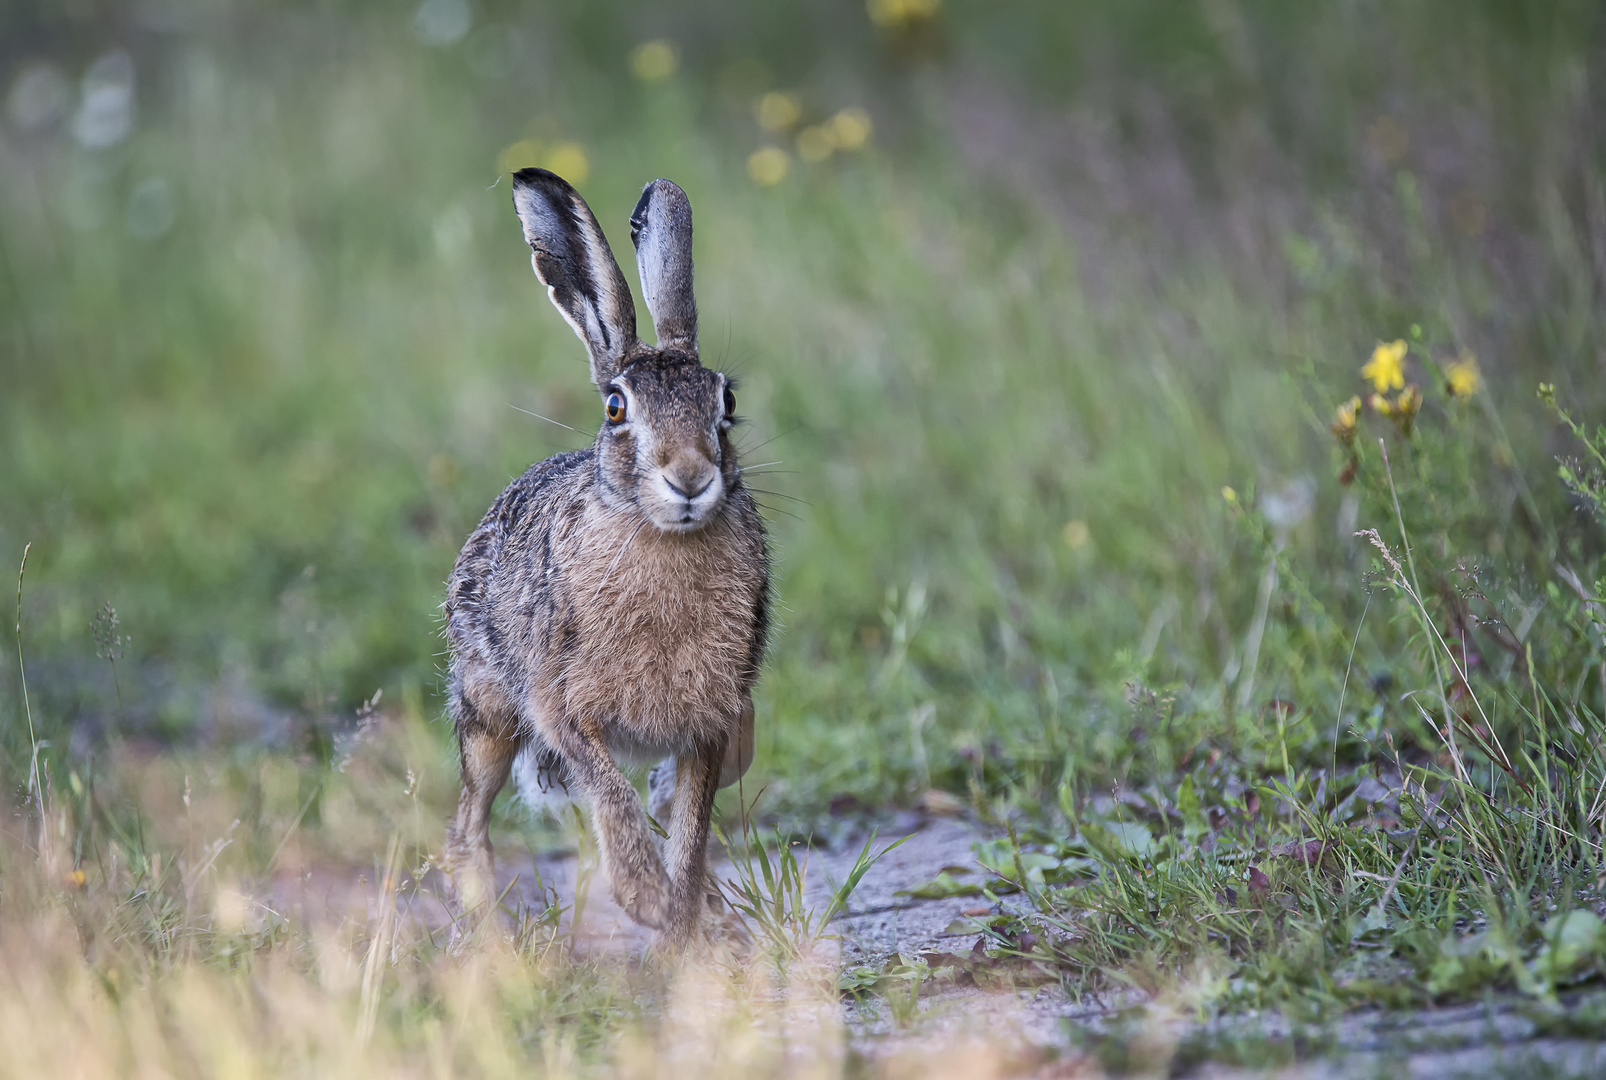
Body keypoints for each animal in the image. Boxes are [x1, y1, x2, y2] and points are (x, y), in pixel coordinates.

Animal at [442, 168, 769, 946]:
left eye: (726, 404)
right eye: (617, 408)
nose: (690, 478)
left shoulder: (716, 722)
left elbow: (692, 829)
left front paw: (680, 920)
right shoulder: (560, 706)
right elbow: (609, 796)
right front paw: (648, 901)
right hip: (488, 708)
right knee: (470, 826)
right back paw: (492, 944)